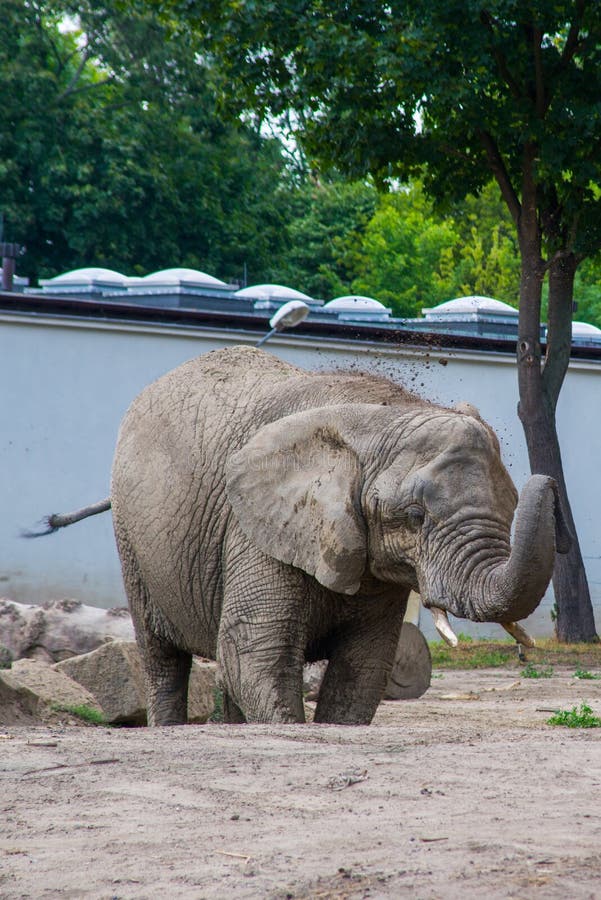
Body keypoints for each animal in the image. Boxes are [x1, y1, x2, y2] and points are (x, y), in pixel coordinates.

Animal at [37, 346, 569, 726]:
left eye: (511, 505)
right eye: (415, 516)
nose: (549, 481)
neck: (380, 414)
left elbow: (365, 664)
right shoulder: (255, 527)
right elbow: (256, 654)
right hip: (132, 539)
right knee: (161, 657)